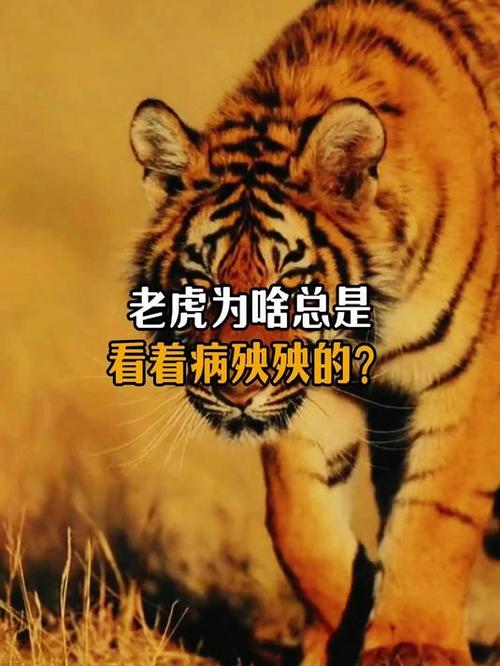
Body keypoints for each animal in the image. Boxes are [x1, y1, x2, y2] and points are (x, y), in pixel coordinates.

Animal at [128, 1, 500, 664]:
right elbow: (299, 523)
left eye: (287, 283)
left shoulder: (468, 375)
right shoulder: (312, 394)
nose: (235, 393)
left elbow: (436, 513)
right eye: (203, 282)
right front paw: (344, 630)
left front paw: (414, 645)